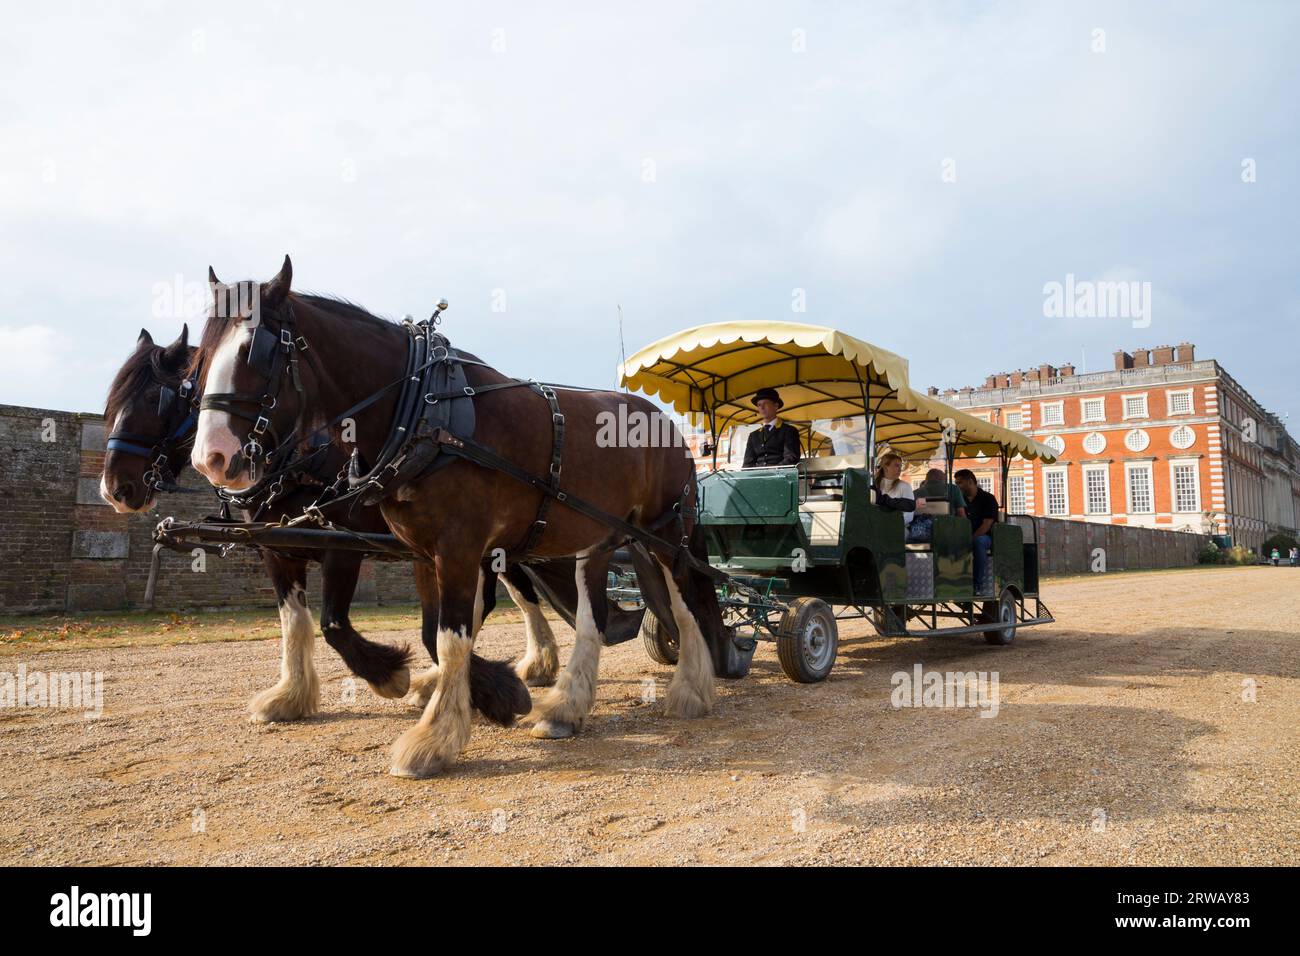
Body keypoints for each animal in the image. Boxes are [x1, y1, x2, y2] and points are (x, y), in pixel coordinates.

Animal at [99, 326, 584, 726]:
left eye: (156, 400)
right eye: (113, 403)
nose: (115, 488)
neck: (301, 461)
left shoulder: (342, 547)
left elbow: (333, 623)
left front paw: (390, 674)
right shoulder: (277, 548)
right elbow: (294, 622)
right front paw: (290, 697)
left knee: (512, 596)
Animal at [189, 256, 730, 778]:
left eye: (255, 353)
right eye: (200, 360)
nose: (210, 458)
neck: (424, 413)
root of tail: (664, 421)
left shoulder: (442, 546)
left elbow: (439, 635)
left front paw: (435, 736)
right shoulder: (413, 552)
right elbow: (400, 629)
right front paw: (490, 692)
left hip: (665, 533)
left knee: (684, 603)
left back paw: (690, 689)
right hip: (596, 537)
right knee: (592, 614)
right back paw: (566, 706)